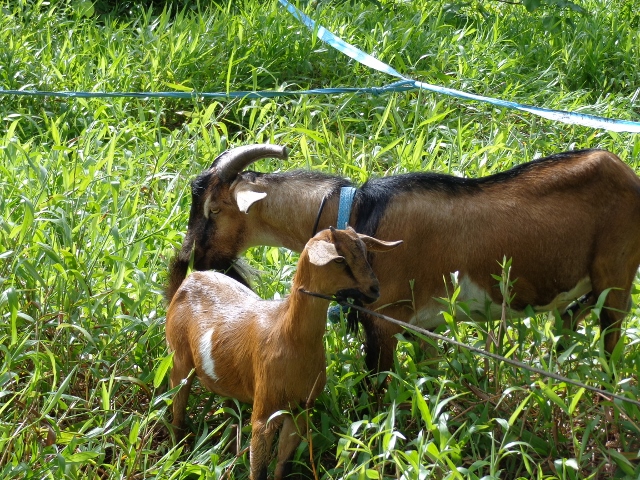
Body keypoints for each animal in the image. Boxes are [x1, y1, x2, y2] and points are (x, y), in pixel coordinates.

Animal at [166, 226, 402, 480]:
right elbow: (258, 469)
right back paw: (177, 454)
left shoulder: (301, 408)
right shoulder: (264, 412)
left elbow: (284, 462)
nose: (374, 289)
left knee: (230, 410)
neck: (287, 334)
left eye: (366, 252)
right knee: (177, 408)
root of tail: (187, 282)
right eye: (339, 259)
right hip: (179, 358)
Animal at [167, 144, 640, 375]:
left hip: (616, 276)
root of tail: (625, 172)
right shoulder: (424, 324)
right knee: (571, 319)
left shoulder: (385, 318)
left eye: (212, 210)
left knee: (612, 333)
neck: (356, 214)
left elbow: (377, 389)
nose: (195, 261)